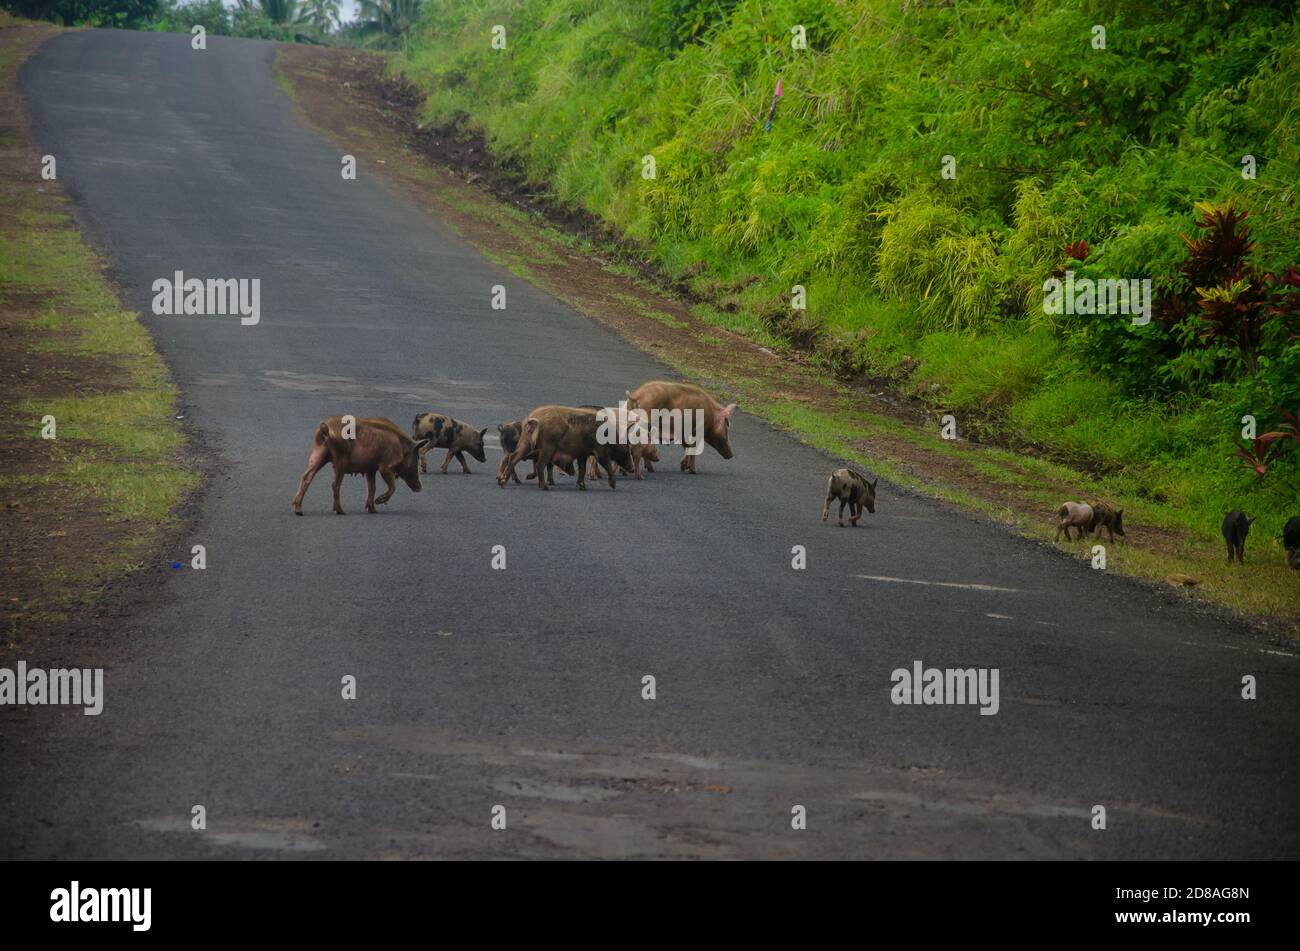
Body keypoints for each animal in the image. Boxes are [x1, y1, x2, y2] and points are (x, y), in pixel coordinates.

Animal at [293, 416, 431, 515]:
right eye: (416, 457)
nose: (420, 488)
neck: (401, 447)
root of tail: (324, 428)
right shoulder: (385, 466)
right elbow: (392, 487)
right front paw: (378, 502)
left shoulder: (370, 469)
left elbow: (372, 487)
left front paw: (373, 510)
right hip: (340, 460)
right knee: (334, 484)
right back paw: (341, 511)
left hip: (319, 453)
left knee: (306, 476)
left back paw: (299, 510)